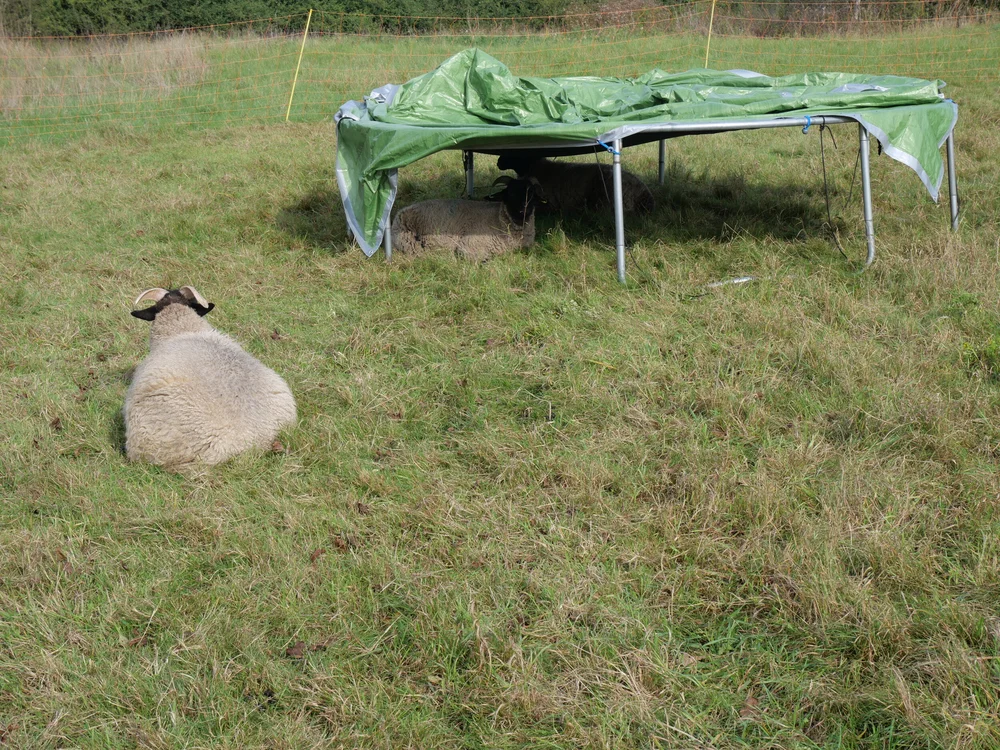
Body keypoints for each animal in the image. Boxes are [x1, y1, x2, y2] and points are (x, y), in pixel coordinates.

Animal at [390, 176, 542, 262]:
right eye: (510, 193)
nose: (523, 211)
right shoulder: (470, 245)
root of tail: (400, 212)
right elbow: (480, 257)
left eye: (532, 193)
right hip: (407, 241)